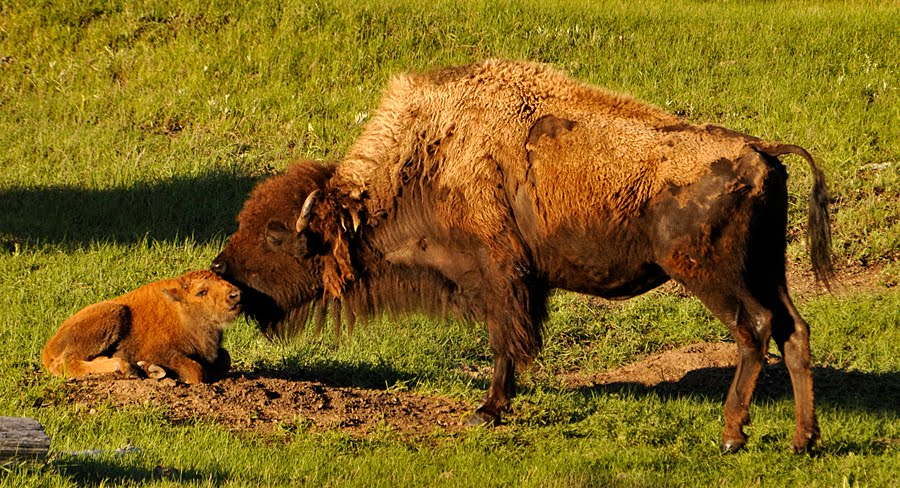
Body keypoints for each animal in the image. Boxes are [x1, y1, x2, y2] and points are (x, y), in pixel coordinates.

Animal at [212, 60, 833, 452]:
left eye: (274, 234)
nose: (220, 268)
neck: (428, 162)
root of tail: (761, 151)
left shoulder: (499, 274)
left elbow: (504, 343)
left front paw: (488, 409)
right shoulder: (522, 283)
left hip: (715, 278)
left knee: (754, 332)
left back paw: (732, 435)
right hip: (768, 270)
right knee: (793, 331)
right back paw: (802, 441)